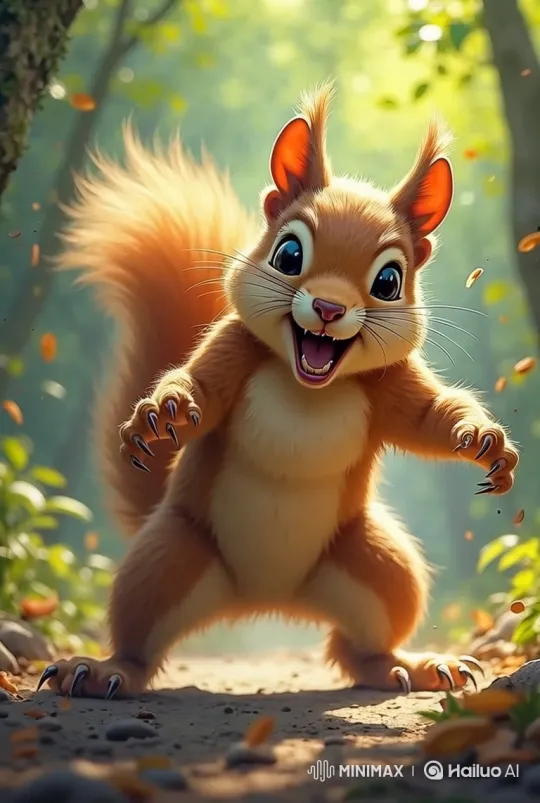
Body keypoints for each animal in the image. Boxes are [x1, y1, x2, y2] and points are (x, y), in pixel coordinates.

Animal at [40, 82, 518, 699]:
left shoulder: (391, 385)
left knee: (358, 644)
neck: (306, 383)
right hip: (165, 559)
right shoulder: (231, 350)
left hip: (377, 565)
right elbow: (199, 391)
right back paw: (103, 671)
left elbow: (430, 417)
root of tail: (263, 600)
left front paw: (483, 440)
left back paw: (412, 667)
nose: (330, 307)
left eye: (389, 281)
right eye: (289, 255)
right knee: (140, 640)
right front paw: (164, 411)